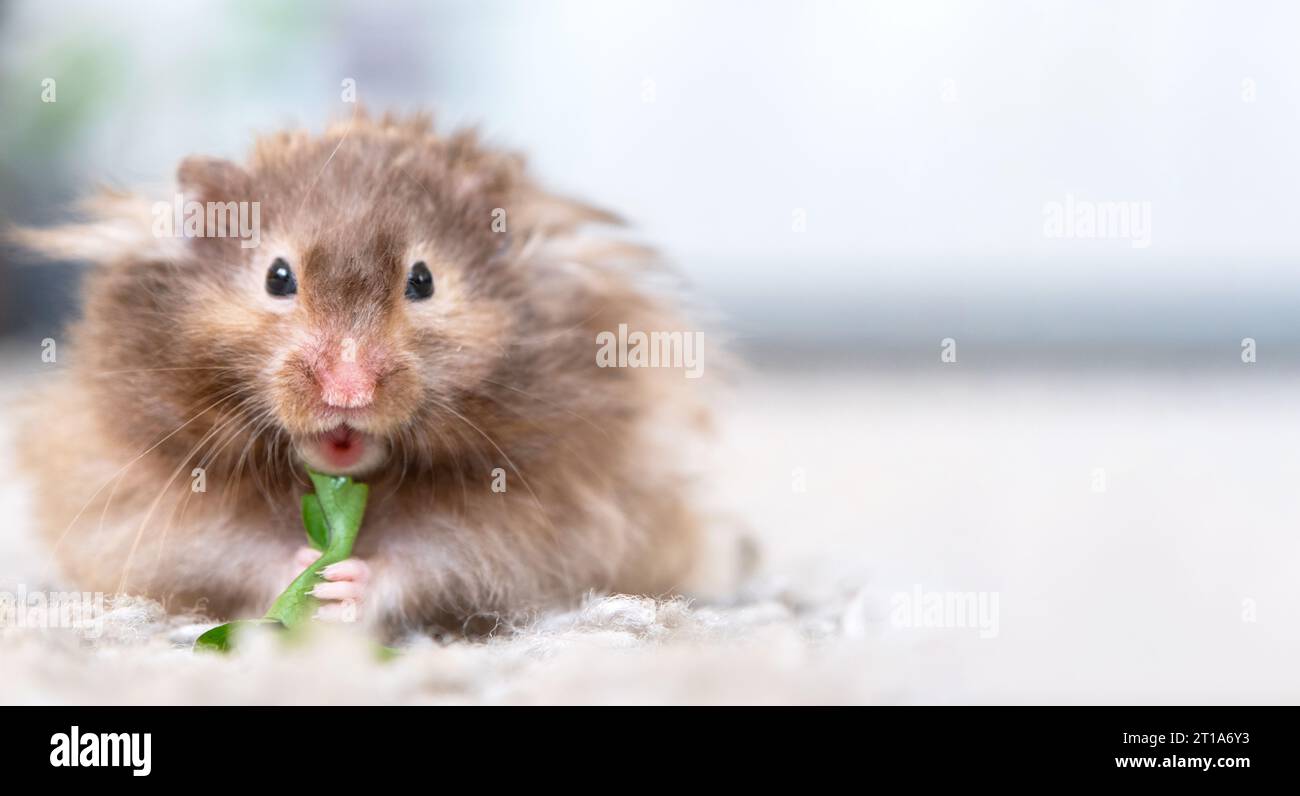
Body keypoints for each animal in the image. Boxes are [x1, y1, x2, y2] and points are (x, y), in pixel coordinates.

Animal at [12, 111, 716, 636]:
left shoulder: (542, 521)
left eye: (422, 281)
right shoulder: (141, 498)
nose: (347, 391)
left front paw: (341, 583)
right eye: (277, 277)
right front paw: (307, 569)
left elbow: (433, 557)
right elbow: (235, 548)